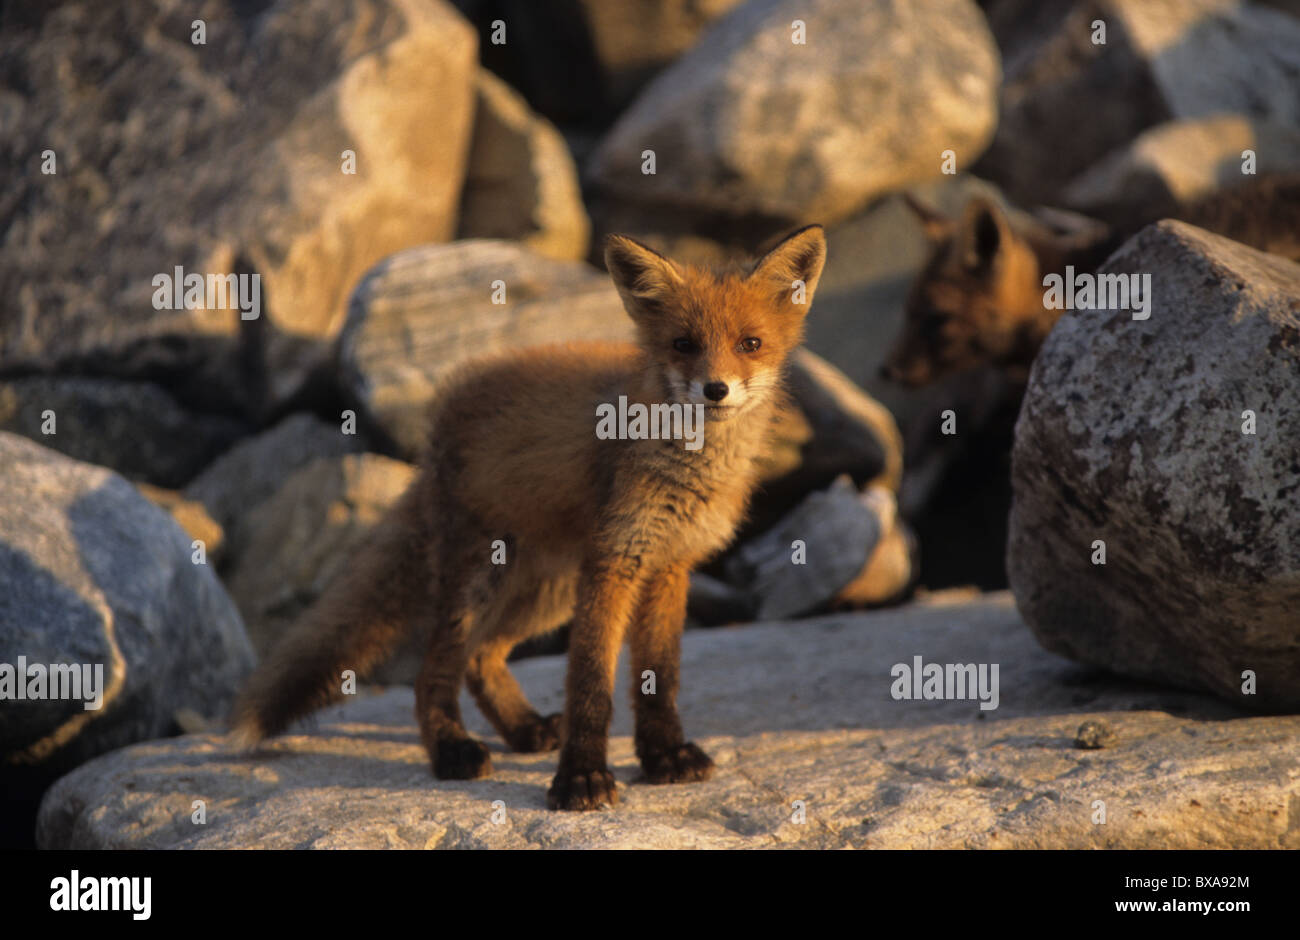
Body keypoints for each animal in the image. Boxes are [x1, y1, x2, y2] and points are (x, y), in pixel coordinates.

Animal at [231, 225, 828, 811]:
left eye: (750, 344)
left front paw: (665, 755)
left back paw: (523, 729)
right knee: (433, 673)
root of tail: (436, 432)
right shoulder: (614, 562)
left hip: (547, 593)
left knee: (481, 660)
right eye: (684, 345)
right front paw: (581, 777)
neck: (686, 473)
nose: (716, 389)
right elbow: (590, 683)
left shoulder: (668, 565)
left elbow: (661, 678)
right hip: (486, 581)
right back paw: (452, 750)